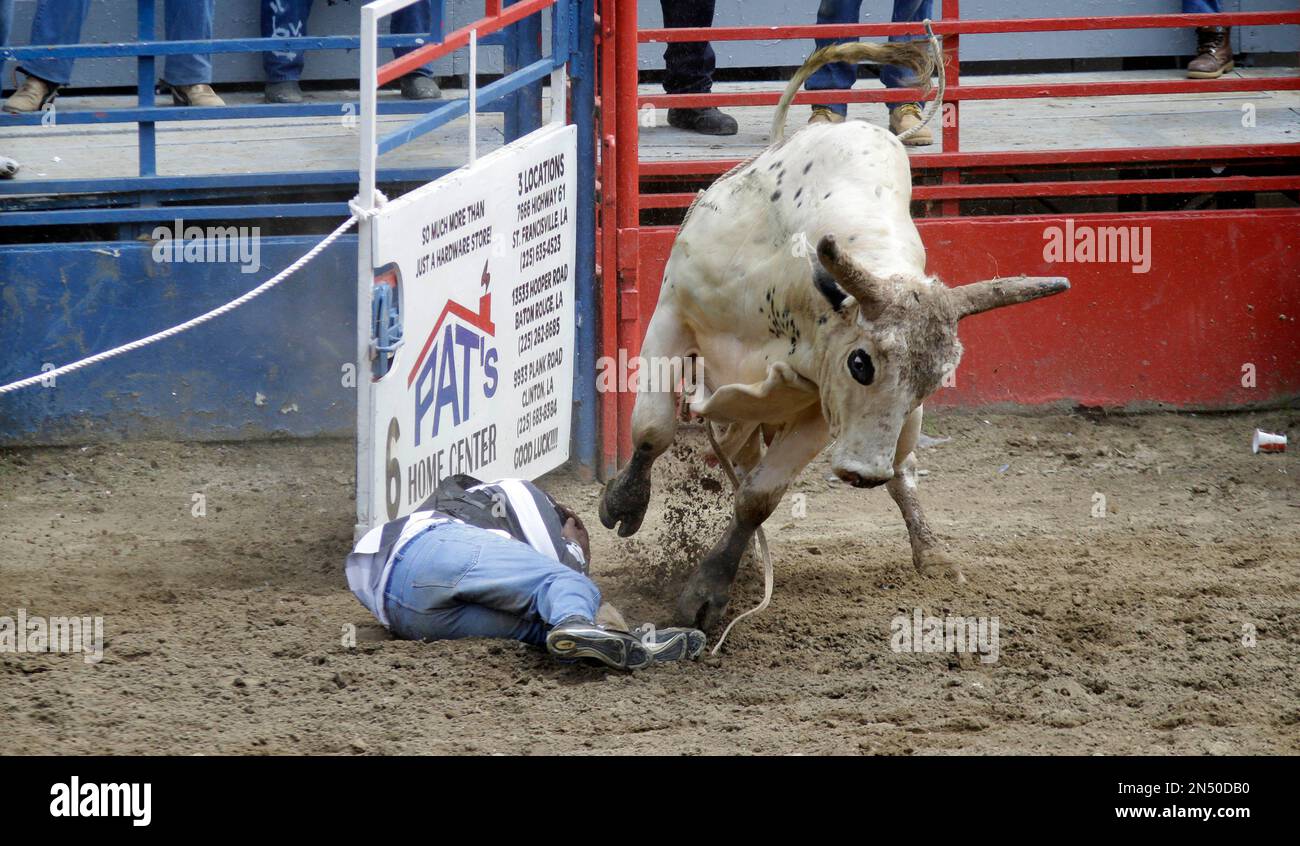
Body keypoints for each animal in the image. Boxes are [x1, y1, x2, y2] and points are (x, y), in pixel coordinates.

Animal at [599, 41, 1070, 632]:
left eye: (933, 381)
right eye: (861, 363)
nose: (862, 474)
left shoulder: (821, 407)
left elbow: (758, 498)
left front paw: (710, 589)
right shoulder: (672, 316)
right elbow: (651, 431)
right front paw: (623, 503)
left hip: (894, 431)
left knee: (903, 470)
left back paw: (932, 552)